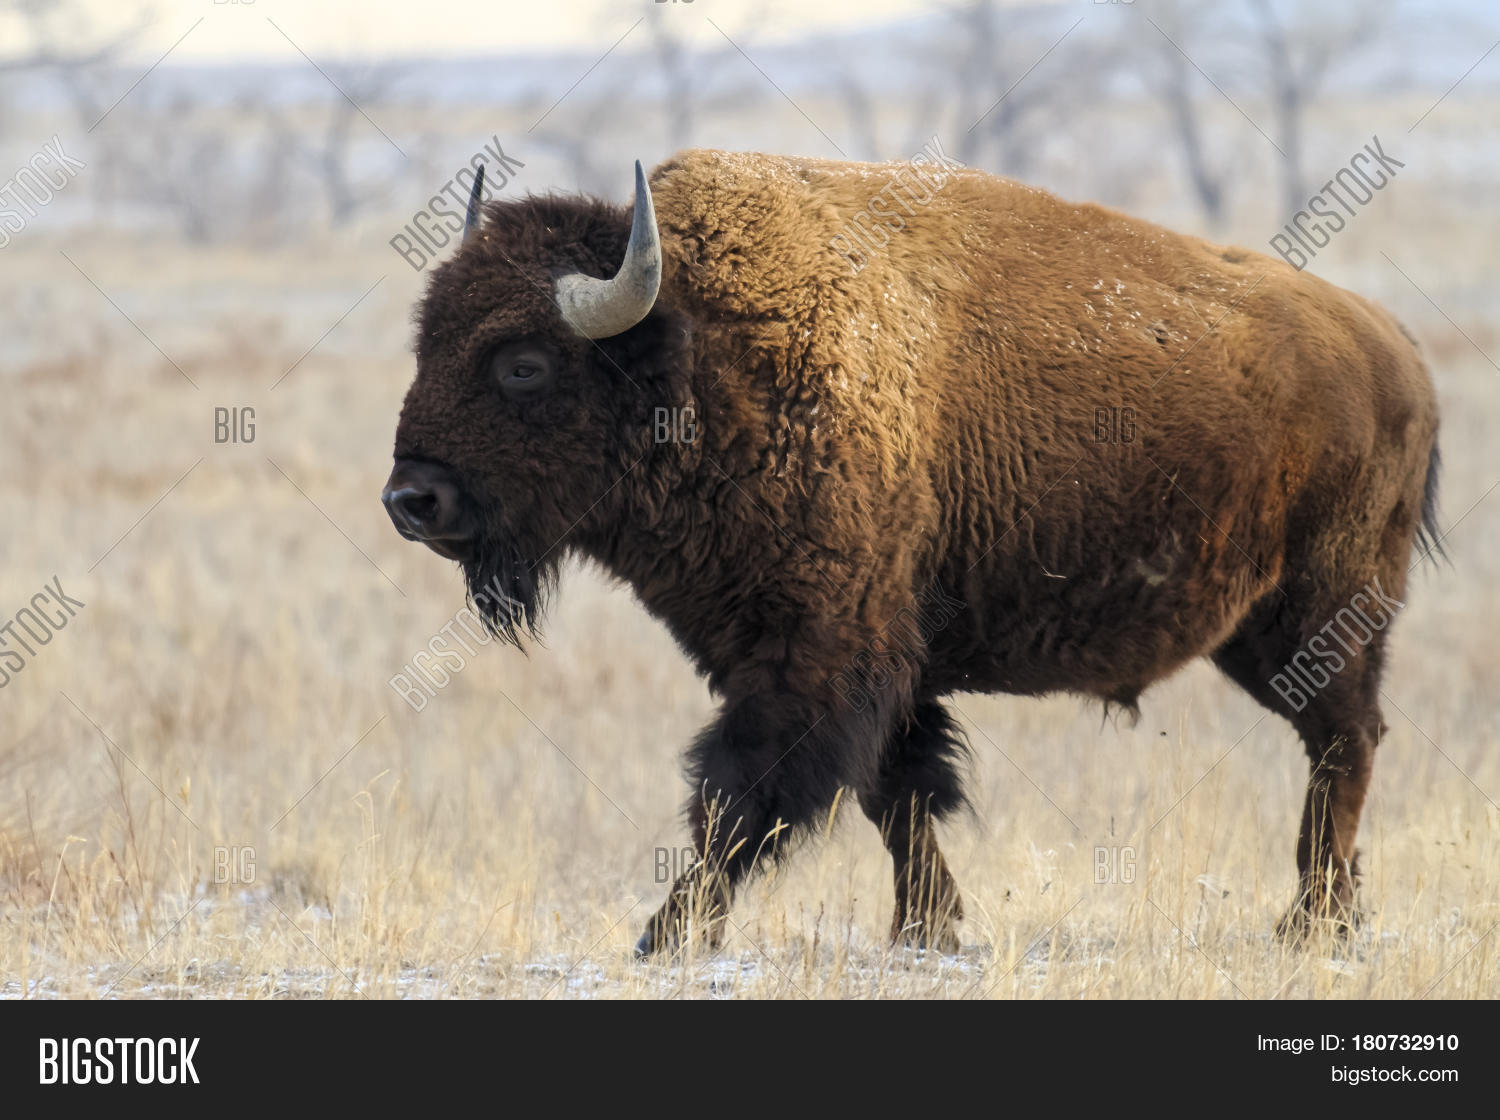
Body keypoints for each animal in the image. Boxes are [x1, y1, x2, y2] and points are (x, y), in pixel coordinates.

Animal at [383, 150, 1441, 955]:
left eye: (522, 364)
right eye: (424, 343)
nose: (410, 498)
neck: (708, 353)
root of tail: (1396, 351)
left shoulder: (819, 652)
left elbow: (745, 794)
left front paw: (665, 935)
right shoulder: (853, 655)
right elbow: (896, 791)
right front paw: (927, 929)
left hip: (1320, 616)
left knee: (1345, 741)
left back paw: (1310, 922)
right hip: (1262, 633)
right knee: (1343, 741)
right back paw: (1332, 917)